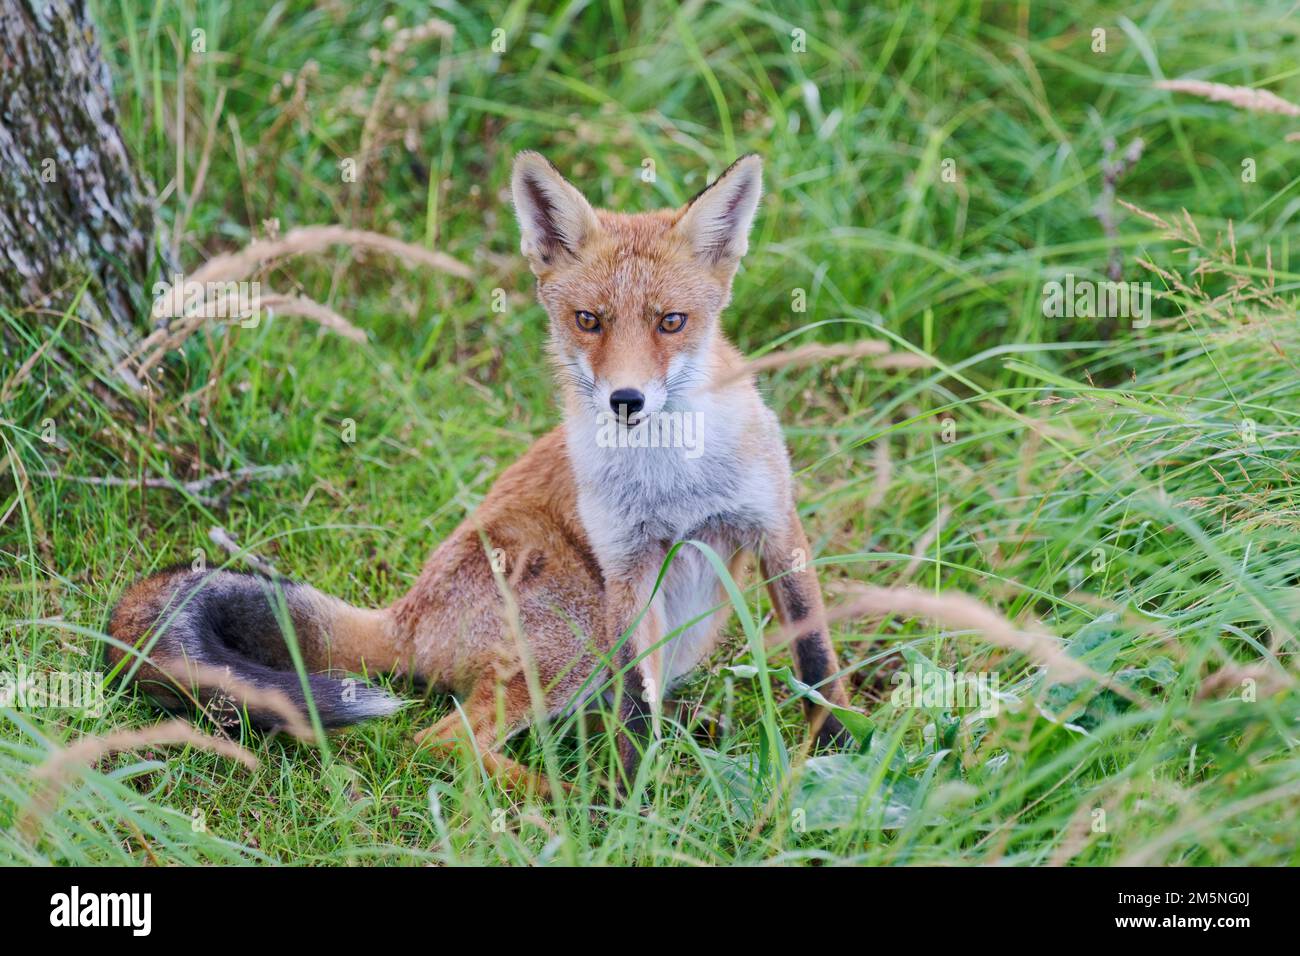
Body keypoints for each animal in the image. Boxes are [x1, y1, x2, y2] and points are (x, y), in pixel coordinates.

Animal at [106, 151, 851, 793]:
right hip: (576, 630)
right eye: (588, 320)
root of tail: (404, 617)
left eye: (673, 322)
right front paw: (631, 802)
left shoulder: (776, 525)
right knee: (443, 742)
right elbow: (635, 715)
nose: (627, 400)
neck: (675, 484)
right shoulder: (626, 568)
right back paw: (563, 802)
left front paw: (842, 750)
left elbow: (817, 663)